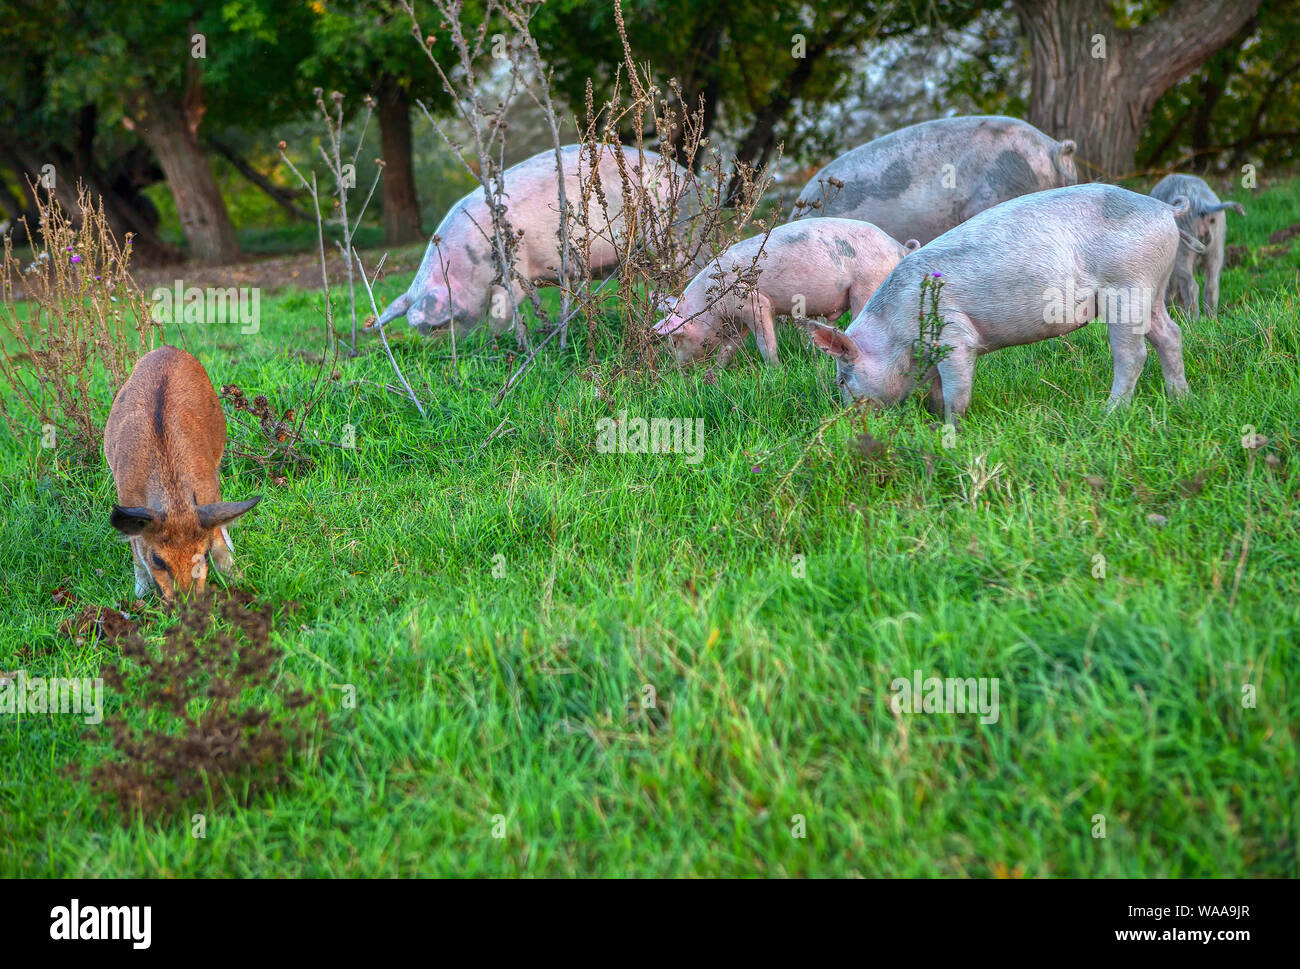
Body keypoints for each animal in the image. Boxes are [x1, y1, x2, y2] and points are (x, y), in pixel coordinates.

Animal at [104, 345, 260, 602]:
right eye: (158, 560)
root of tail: (168, 348)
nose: (188, 604)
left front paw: (240, 583)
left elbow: (219, 544)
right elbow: (137, 551)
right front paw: (140, 596)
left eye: (203, 556)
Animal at [376, 144, 693, 337]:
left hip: (671, 233)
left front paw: (497, 337)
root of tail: (688, 175)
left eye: (439, 327)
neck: (466, 264)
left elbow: (503, 312)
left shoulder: (512, 273)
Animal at [652, 218, 918, 367]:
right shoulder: (738, 320)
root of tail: (900, 247)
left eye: (675, 340)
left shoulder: (755, 303)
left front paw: (774, 371)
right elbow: (730, 346)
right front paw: (715, 372)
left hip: (867, 285)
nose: (678, 369)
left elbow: (765, 342)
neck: (712, 304)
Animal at [806, 184, 1207, 423]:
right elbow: (936, 389)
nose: (847, 424)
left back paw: (1108, 413)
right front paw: (932, 417)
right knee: (1170, 335)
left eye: (842, 379)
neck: (895, 333)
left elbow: (956, 391)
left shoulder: (954, 335)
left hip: (1127, 287)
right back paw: (1182, 400)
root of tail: (1163, 210)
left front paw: (949, 428)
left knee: (1133, 353)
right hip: (1152, 289)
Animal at [1149, 173, 1245, 319]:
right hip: (1217, 245)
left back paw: (1192, 319)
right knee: (1212, 285)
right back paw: (1211, 318)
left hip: (1183, 250)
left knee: (1192, 286)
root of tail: (1202, 205)